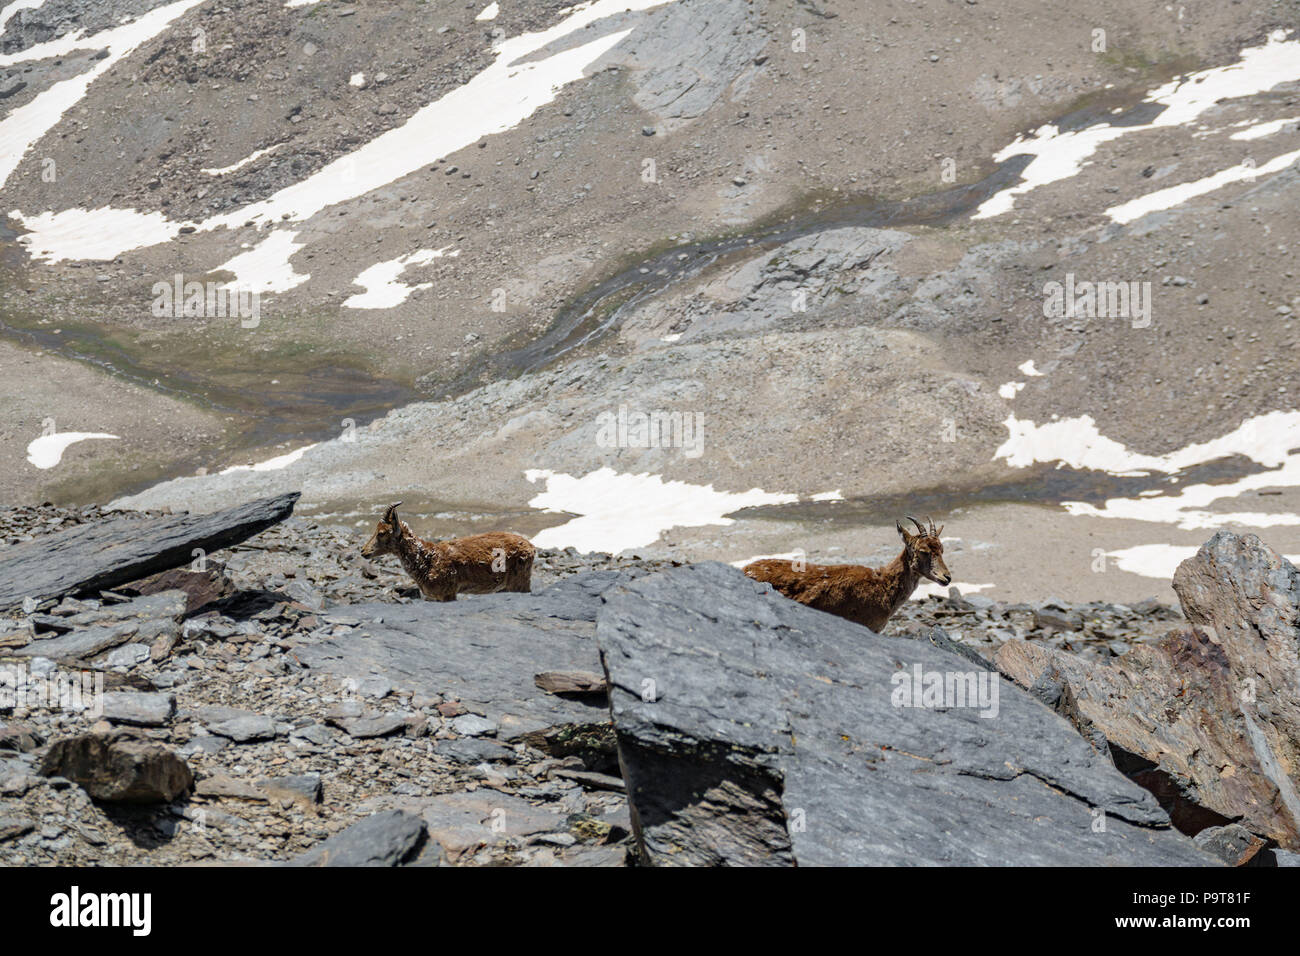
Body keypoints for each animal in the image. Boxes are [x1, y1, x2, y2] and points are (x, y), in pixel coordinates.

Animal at [360, 502, 535, 601]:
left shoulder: (448, 593)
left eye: (382, 533)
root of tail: (531, 547)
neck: (427, 559)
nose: (363, 551)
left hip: (519, 582)